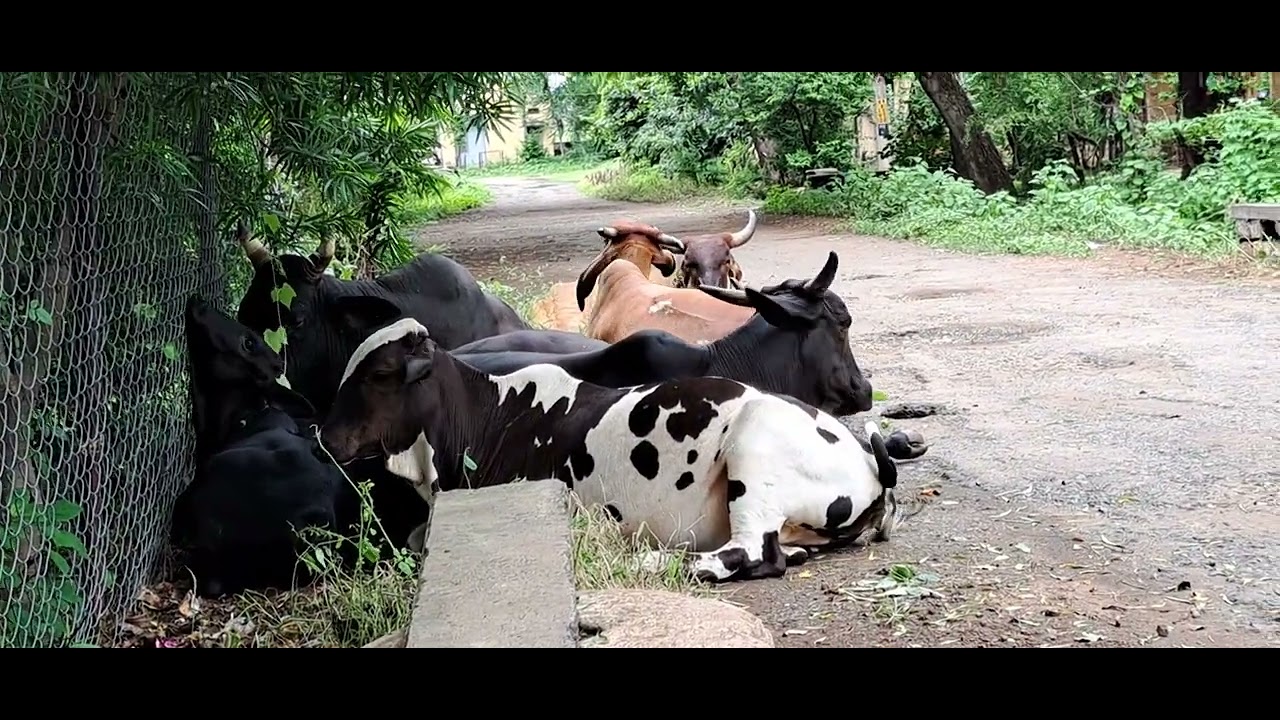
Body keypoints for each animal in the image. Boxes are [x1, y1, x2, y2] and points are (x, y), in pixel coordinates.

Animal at [319, 317, 902, 583]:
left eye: (380, 374)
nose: (323, 437)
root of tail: (870, 462)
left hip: (753, 449)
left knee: (755, 552)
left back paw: (652, 559)